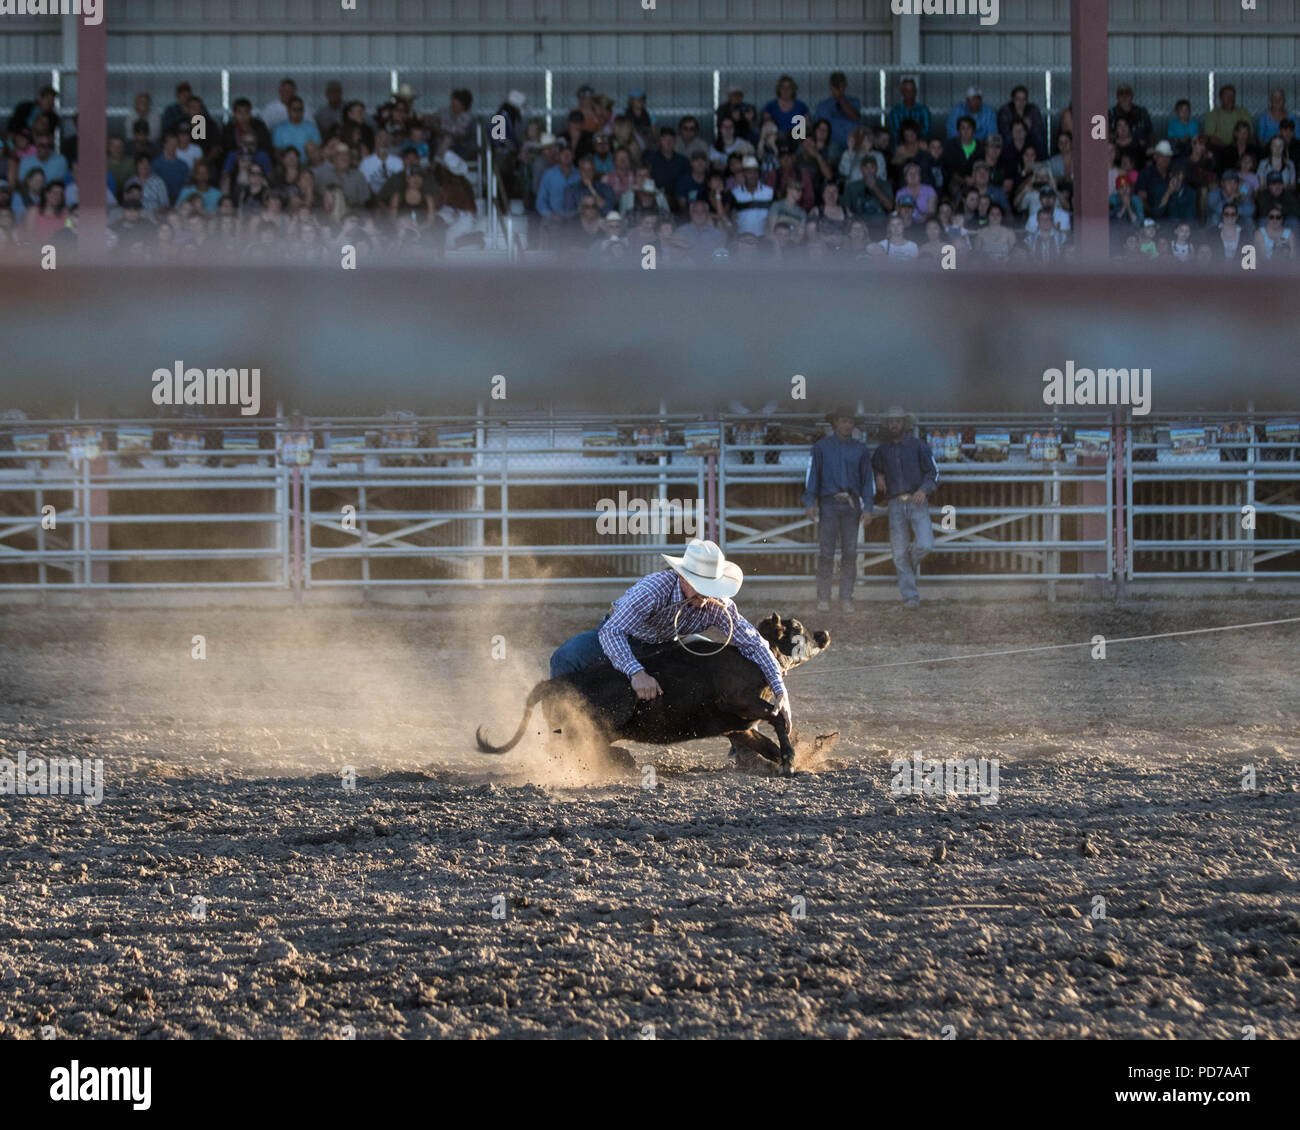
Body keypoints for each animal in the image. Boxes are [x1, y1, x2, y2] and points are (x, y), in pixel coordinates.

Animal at [475, 613, 830, 777]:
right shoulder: (737, 699)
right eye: (797, 628)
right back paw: (624, 759)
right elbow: (779, 718)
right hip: (610, 712)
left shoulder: (738, 727)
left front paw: (787, 761)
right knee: (572, 745)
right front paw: (790, 760)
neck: (753, 657)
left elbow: (765, 741)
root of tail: (557, 681)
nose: (823, 633)